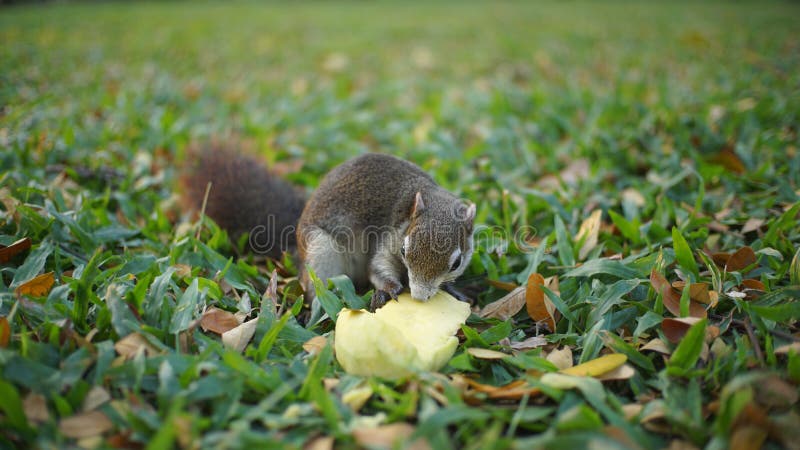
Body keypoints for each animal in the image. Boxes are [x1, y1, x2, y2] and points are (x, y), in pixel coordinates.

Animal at [180, 144, 476, 310]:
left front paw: (453, 290)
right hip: (322, 251)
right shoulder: (389, 235)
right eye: (404, 251)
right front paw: (390, 288)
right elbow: (377, 268)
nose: (419, 297)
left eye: (456, 263)